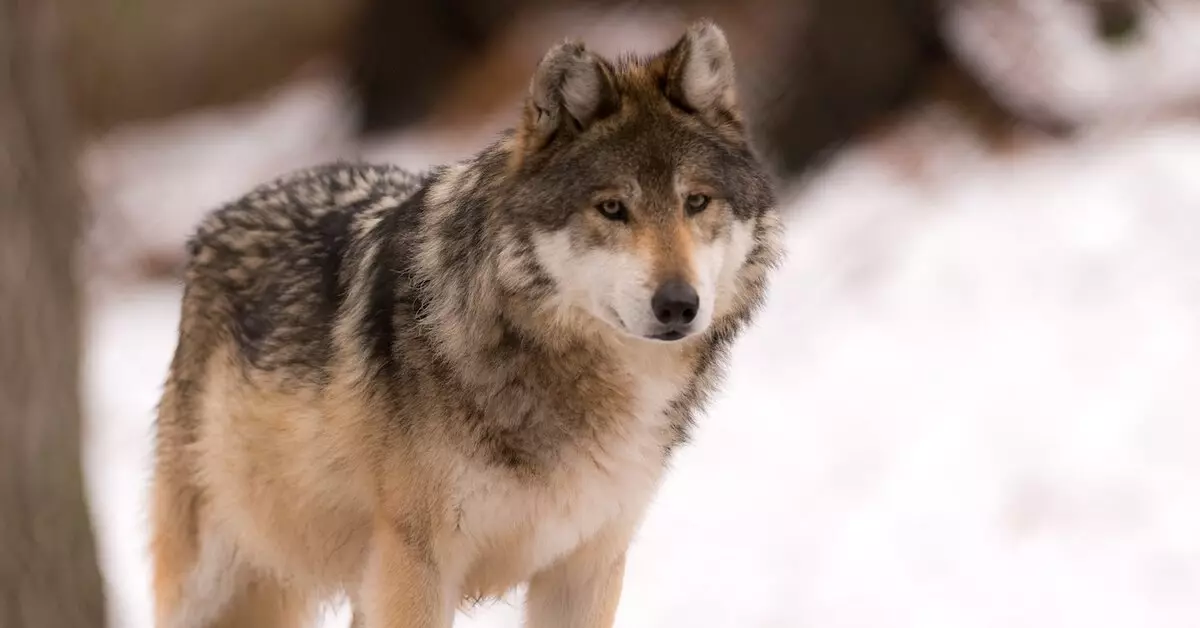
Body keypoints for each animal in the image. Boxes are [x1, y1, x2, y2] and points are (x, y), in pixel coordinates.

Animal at [150, 19, 782, 628]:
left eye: (696, 202)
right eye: (612, 209)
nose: (679, 305)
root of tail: (221, 216)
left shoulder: (586, 567)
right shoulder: (418, 568)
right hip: (215, 584)